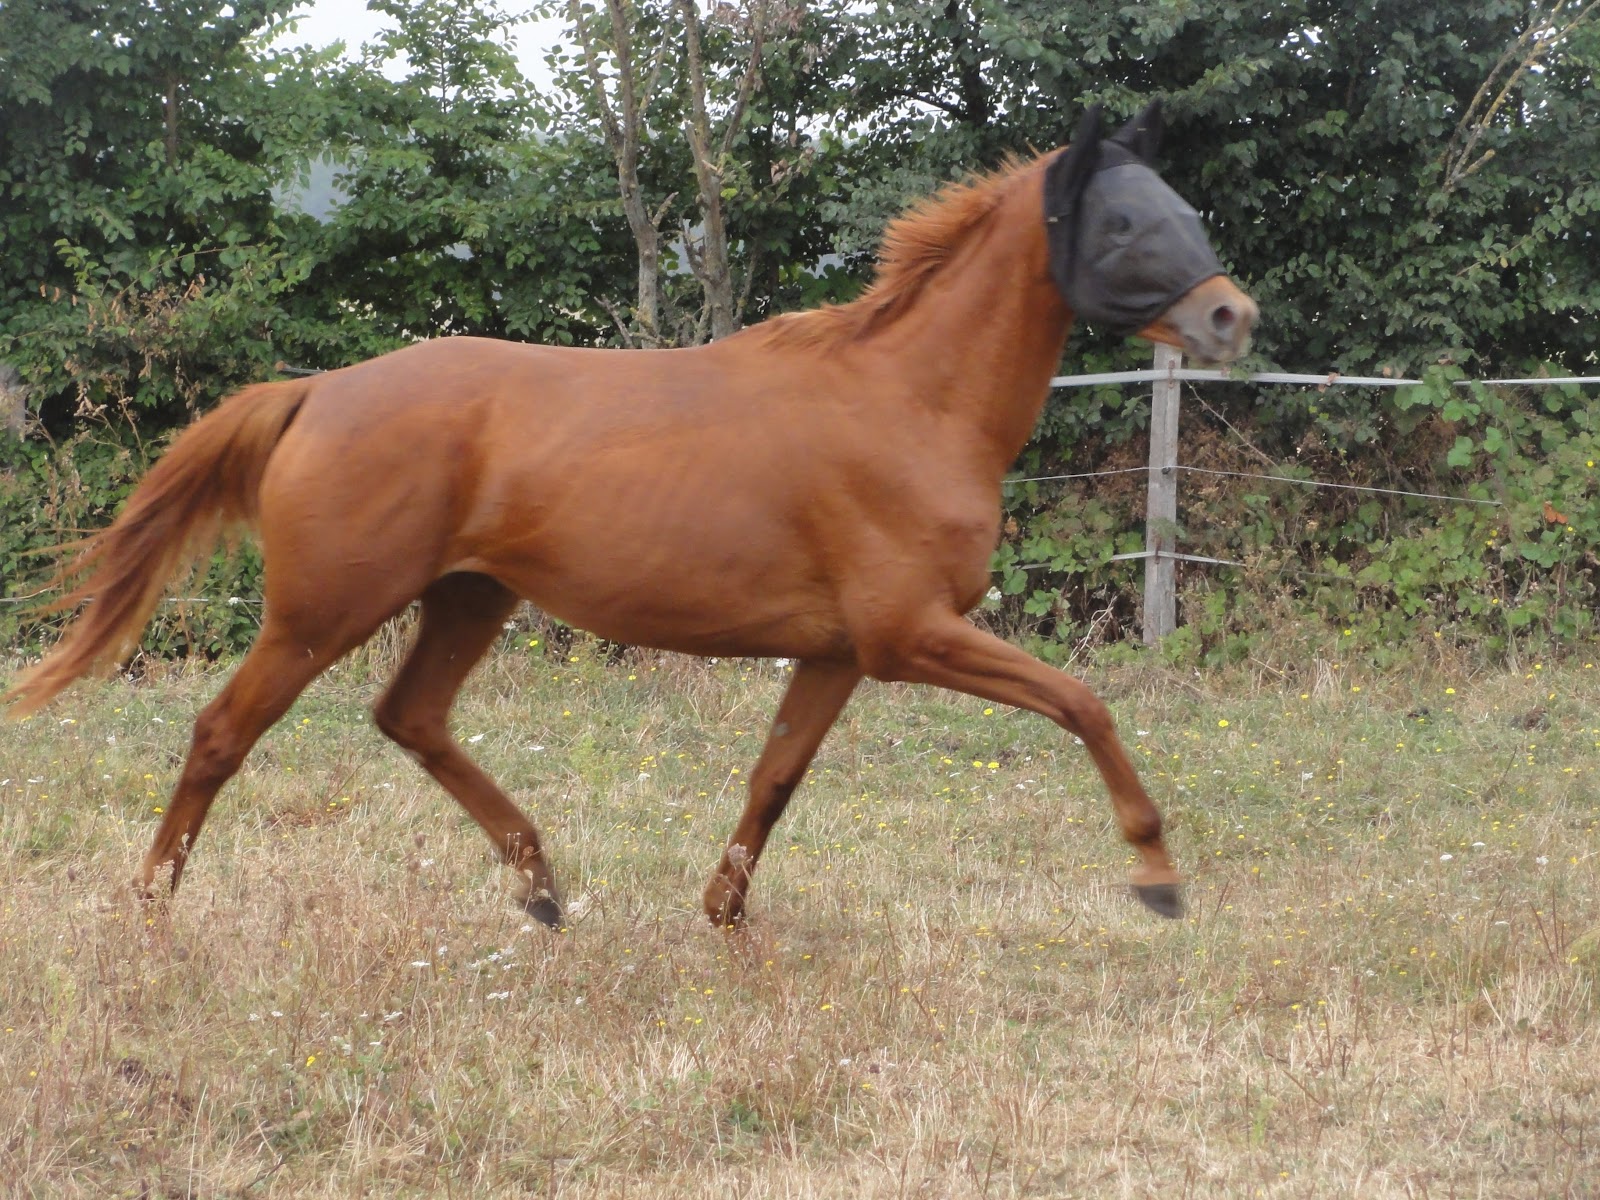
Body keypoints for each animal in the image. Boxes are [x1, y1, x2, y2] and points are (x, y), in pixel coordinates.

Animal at [4, 102, 1256, 928]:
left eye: (1181, 209)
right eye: (1123, 226)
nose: (1231, 318)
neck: (909, 402)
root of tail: (316, 390)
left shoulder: (840, 652)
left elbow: (773, 779)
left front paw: (722, 914)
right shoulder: (911, 636)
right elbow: (1083, 703)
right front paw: (1156, 878)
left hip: (467, 598)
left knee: (409, 718)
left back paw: (540, 886)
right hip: (324, 612)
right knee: (224, 732)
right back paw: (153, 904)